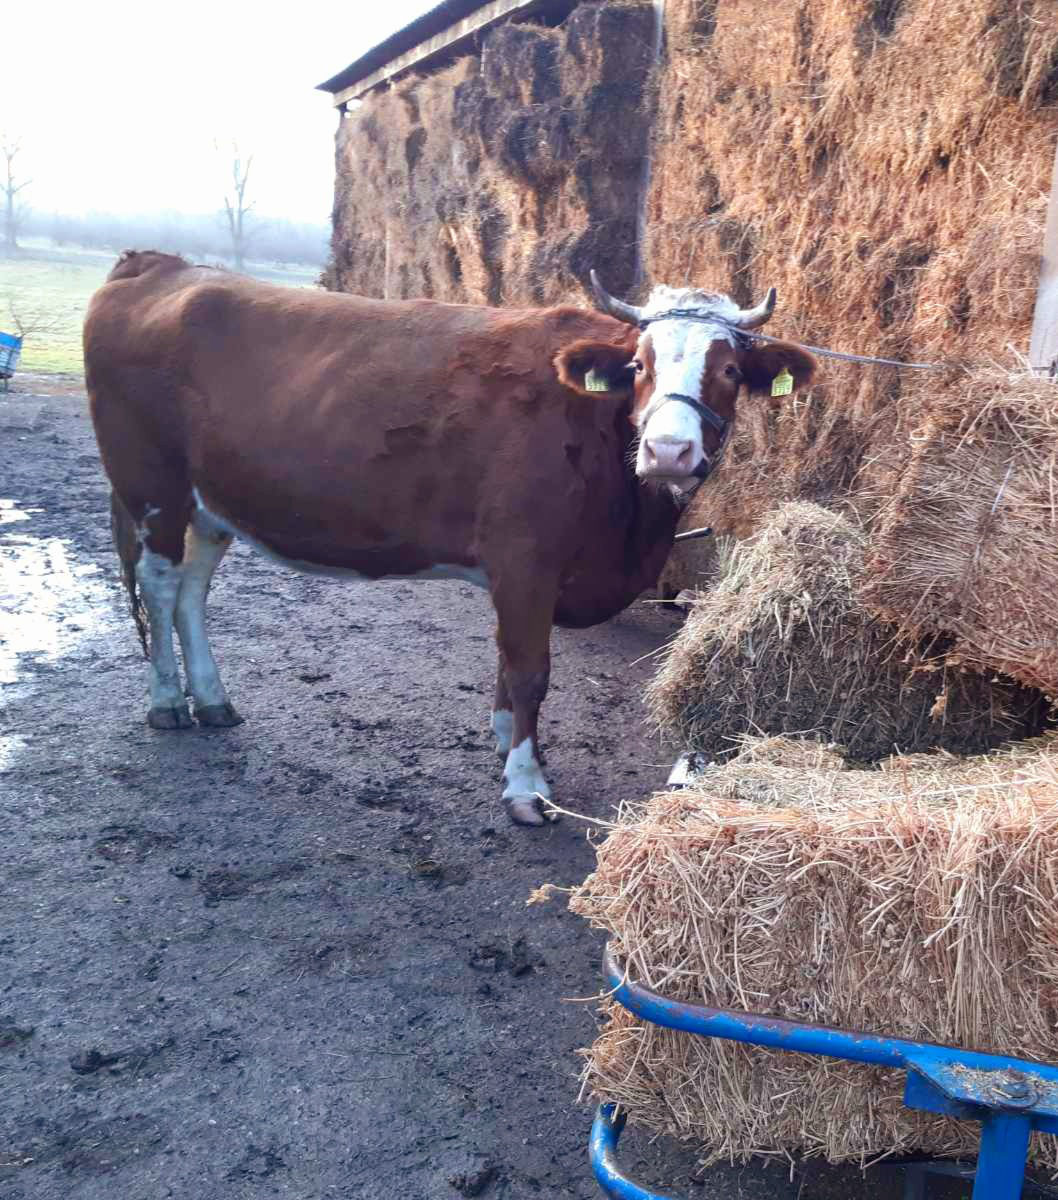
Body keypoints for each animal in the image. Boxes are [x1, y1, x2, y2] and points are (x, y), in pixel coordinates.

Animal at [84, 252, 814, 826]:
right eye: (638, 365)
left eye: (728, 370)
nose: (667, 451)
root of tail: (161, 265)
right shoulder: (525, 558)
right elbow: (528, 670)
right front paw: (525, 785)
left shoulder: (522, 571)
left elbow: (505, 662)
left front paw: (508, 743)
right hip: (151, 485)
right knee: (159, 586)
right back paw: (166, 703)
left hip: (210, 505)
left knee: (190, 593)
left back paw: (212, 699)